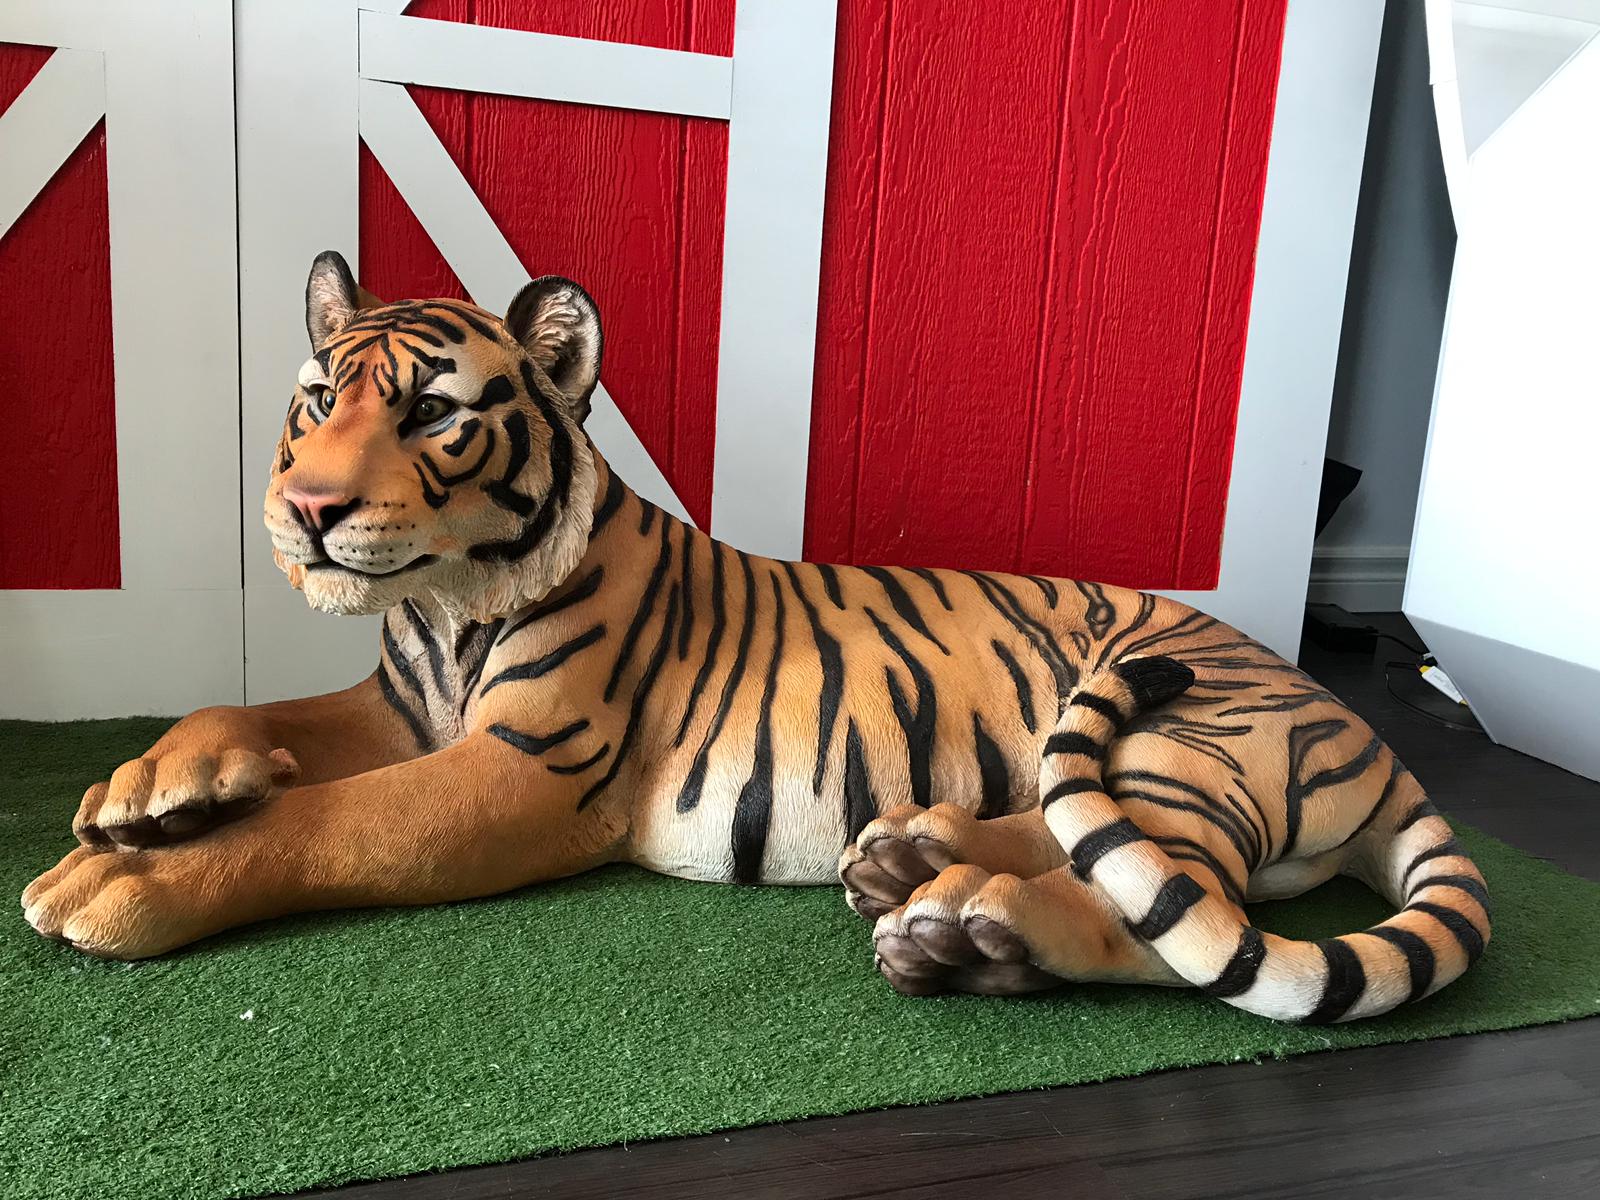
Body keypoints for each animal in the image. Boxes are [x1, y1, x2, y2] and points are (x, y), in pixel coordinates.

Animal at [20, 250, 1490, 1024]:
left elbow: (322, 820)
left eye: (436, 414)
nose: (307, 512)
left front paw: (109, 885)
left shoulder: (520, 770)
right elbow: (251, 719)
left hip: (1188, 737)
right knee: (1100, 845)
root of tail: (1367, 735)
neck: (439, 612)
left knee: (1178, 908)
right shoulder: (394, 710)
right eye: (320, 397)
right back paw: (914, 860)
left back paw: (976, 930)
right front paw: (142, 791)